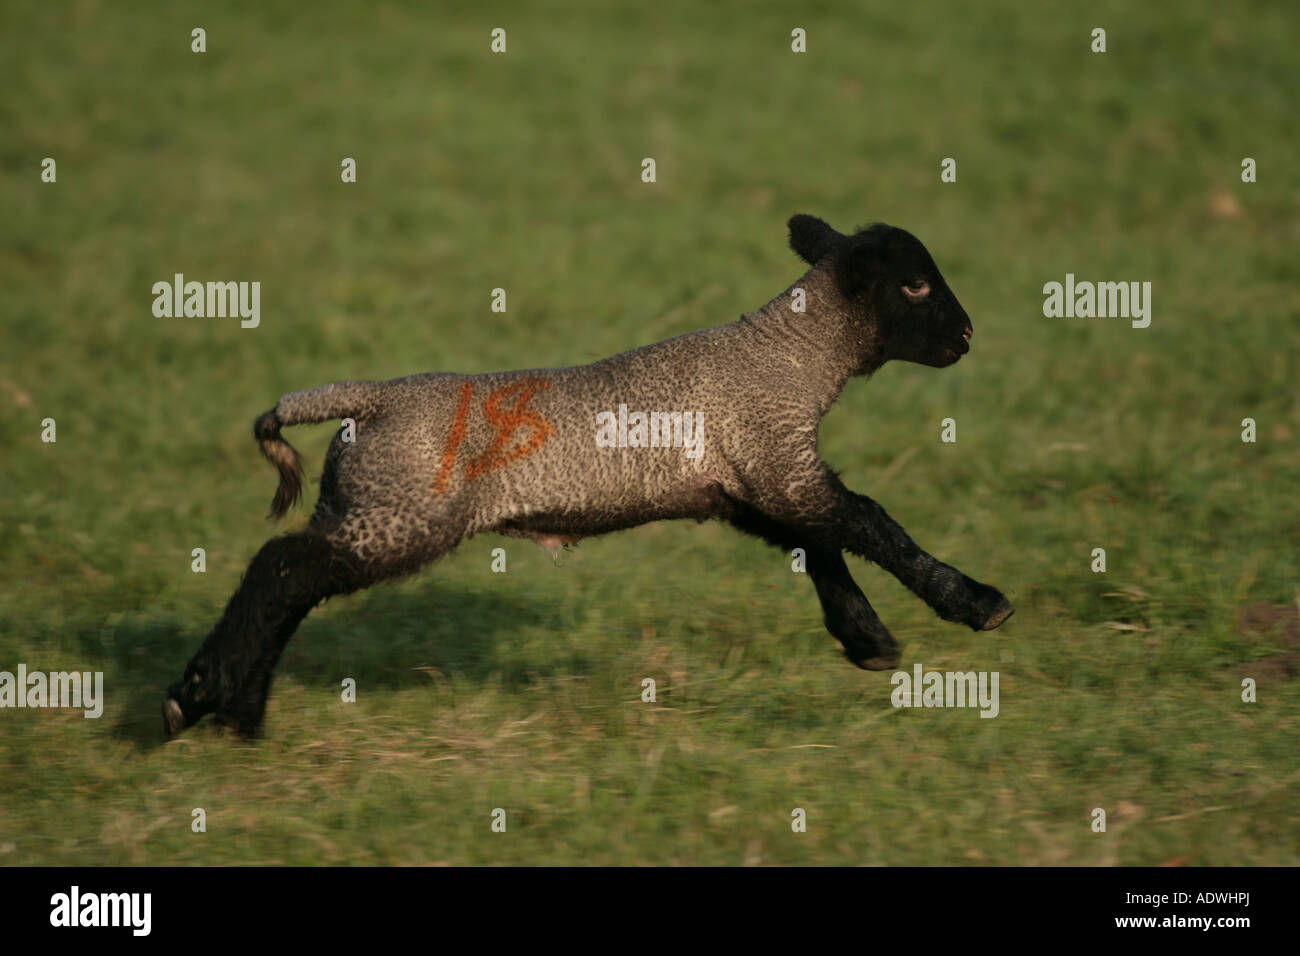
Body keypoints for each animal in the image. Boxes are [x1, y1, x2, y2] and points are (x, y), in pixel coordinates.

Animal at [162, 214, 1014, 737]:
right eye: (914, 285)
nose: (971, 336)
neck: (791, 359)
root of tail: (365, 400)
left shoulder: (752, 484)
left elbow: (822, 546)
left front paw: (868, 640)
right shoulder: (780, 460)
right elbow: (869, 520)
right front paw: (977, 603)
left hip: (363, 508)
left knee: (293, 580)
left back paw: (234, 709)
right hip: (400, 514)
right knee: (281, 570)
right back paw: (197, 698)